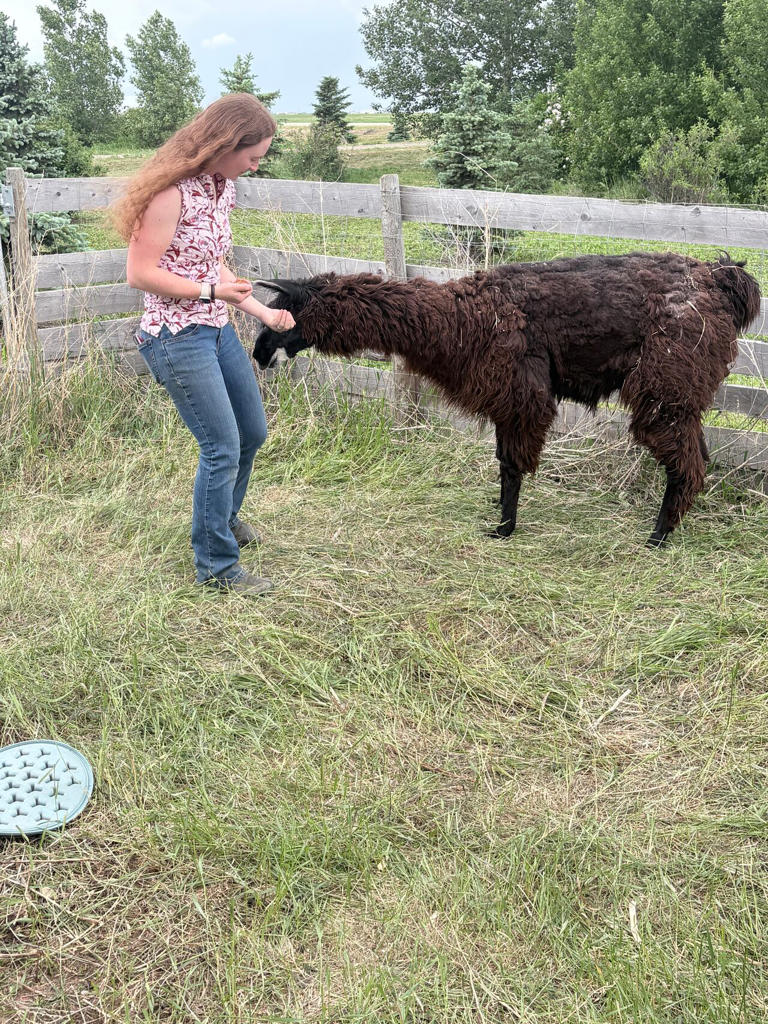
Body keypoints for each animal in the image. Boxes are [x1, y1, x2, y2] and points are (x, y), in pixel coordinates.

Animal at [252, 251, 761, 547]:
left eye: (283, 312)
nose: (258, 352)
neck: (459, 320)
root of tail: (721, 277)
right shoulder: (505, 396)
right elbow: (502, 462)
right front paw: (499, 518)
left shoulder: (519, 391)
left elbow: (513, 465)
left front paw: (504, 529)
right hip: (681, 389)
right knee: (697, 455)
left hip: (667, 382)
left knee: (683, 460)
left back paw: (659, 535)